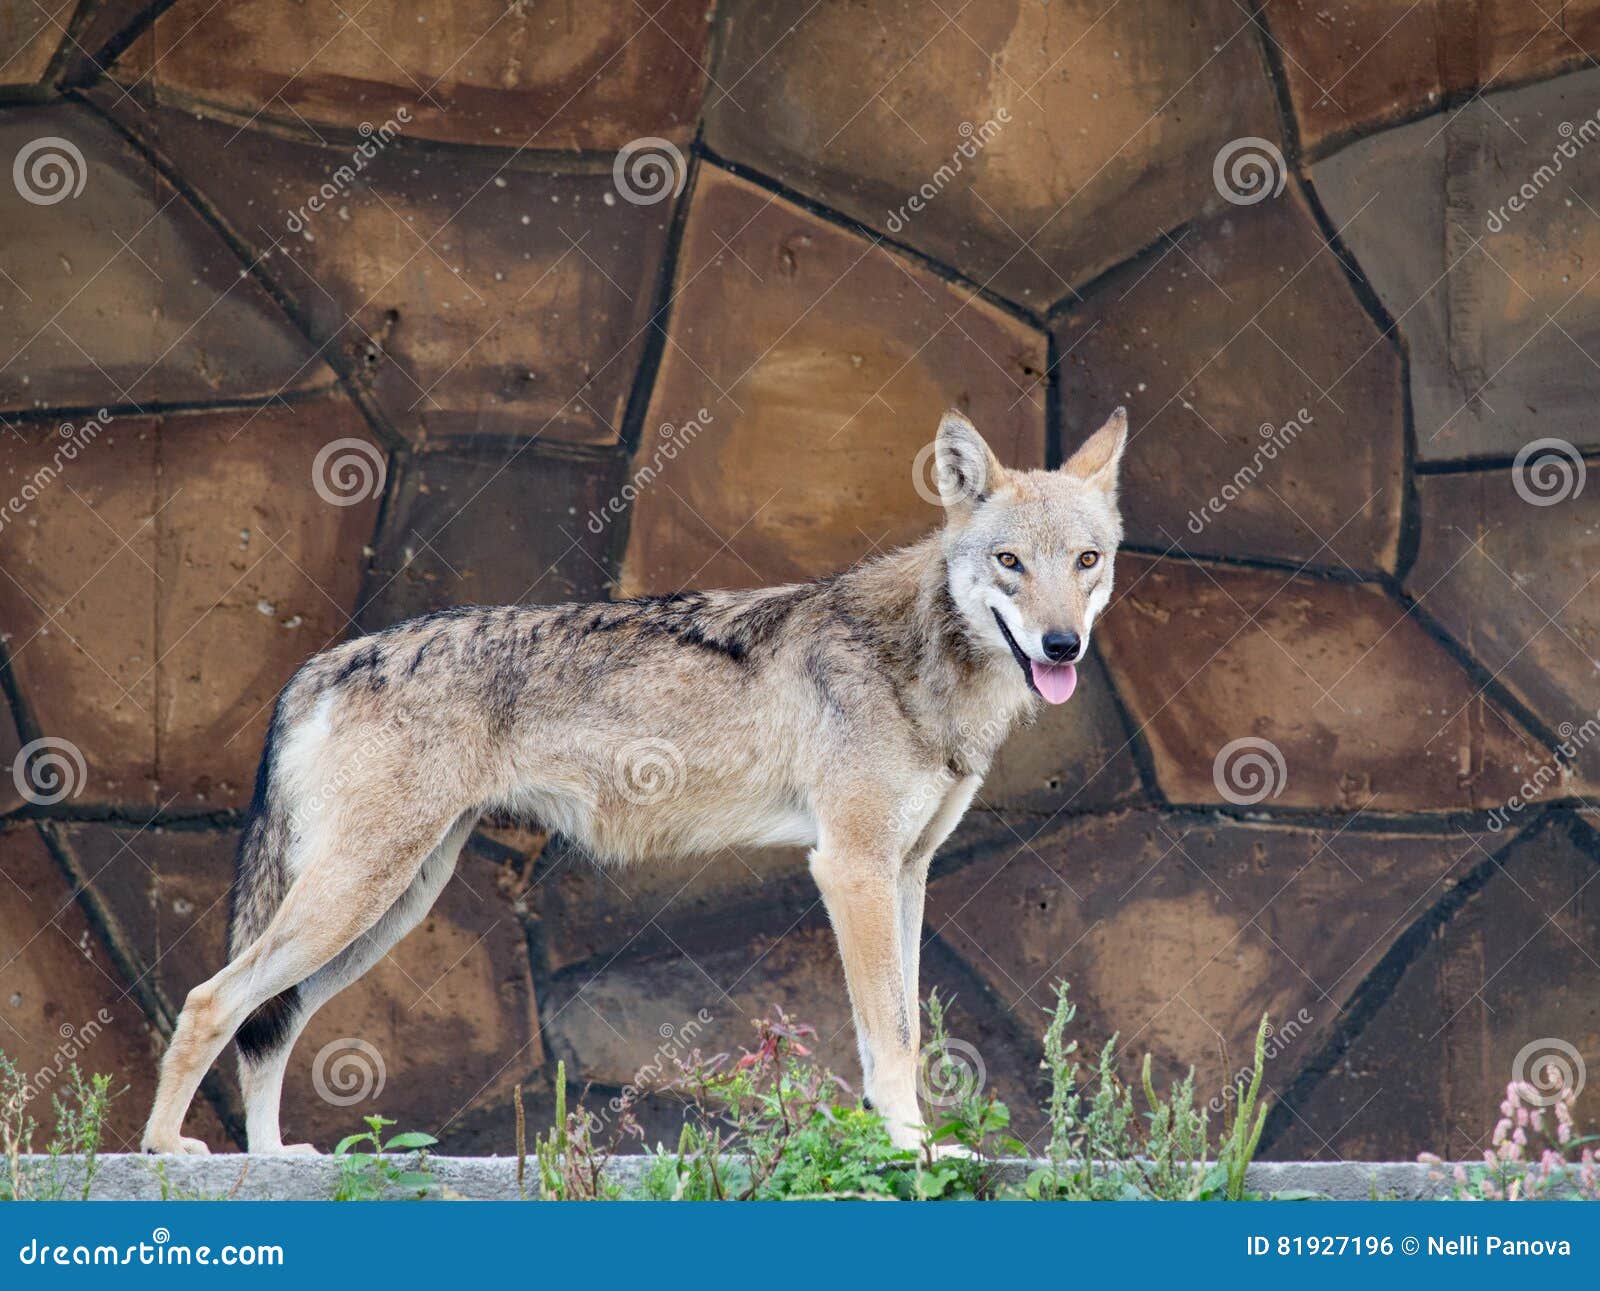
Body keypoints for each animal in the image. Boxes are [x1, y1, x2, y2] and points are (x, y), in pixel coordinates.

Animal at [140, 406, 1128, 1155]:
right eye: (1009, 562)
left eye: (1087, 561)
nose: (1062, 646)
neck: (922, 666)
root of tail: (320, 662)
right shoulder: (851, 867)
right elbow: (887, 1033)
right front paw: (912, 1150)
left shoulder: (908, 871)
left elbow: (909, 1030)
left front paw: (912, 1140)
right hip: (359, 894)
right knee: (210, 1000)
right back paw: (164, 1150)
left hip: (388, 907)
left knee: (268, 1022)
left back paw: (271, 1158)